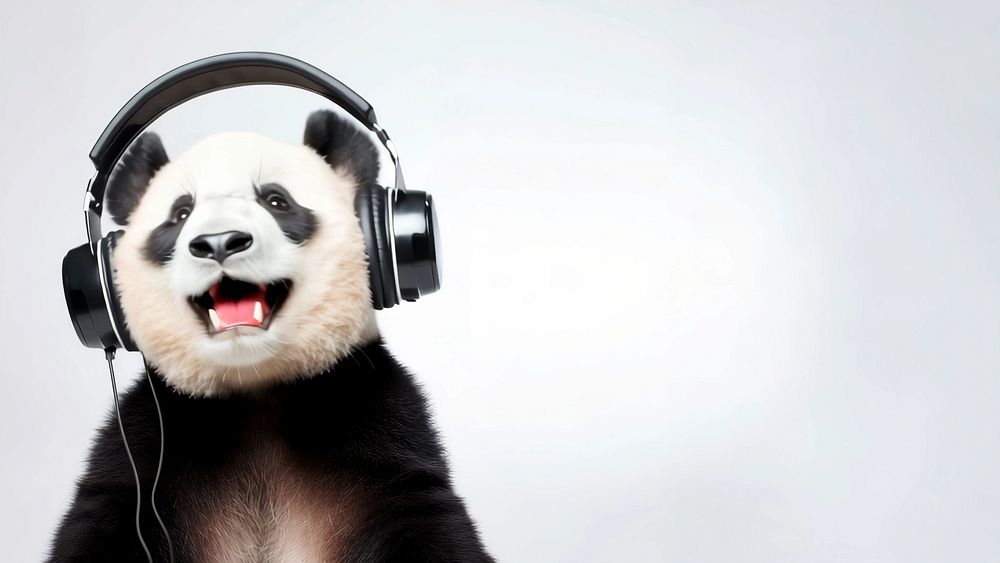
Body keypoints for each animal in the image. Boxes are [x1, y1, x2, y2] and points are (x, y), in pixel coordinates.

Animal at [49, 110, 493, 562]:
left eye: (276, 201)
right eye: (180, 214)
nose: (219, 242)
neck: (256, 389)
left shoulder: (385, 438)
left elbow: (426, 522)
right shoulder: (145, 456)